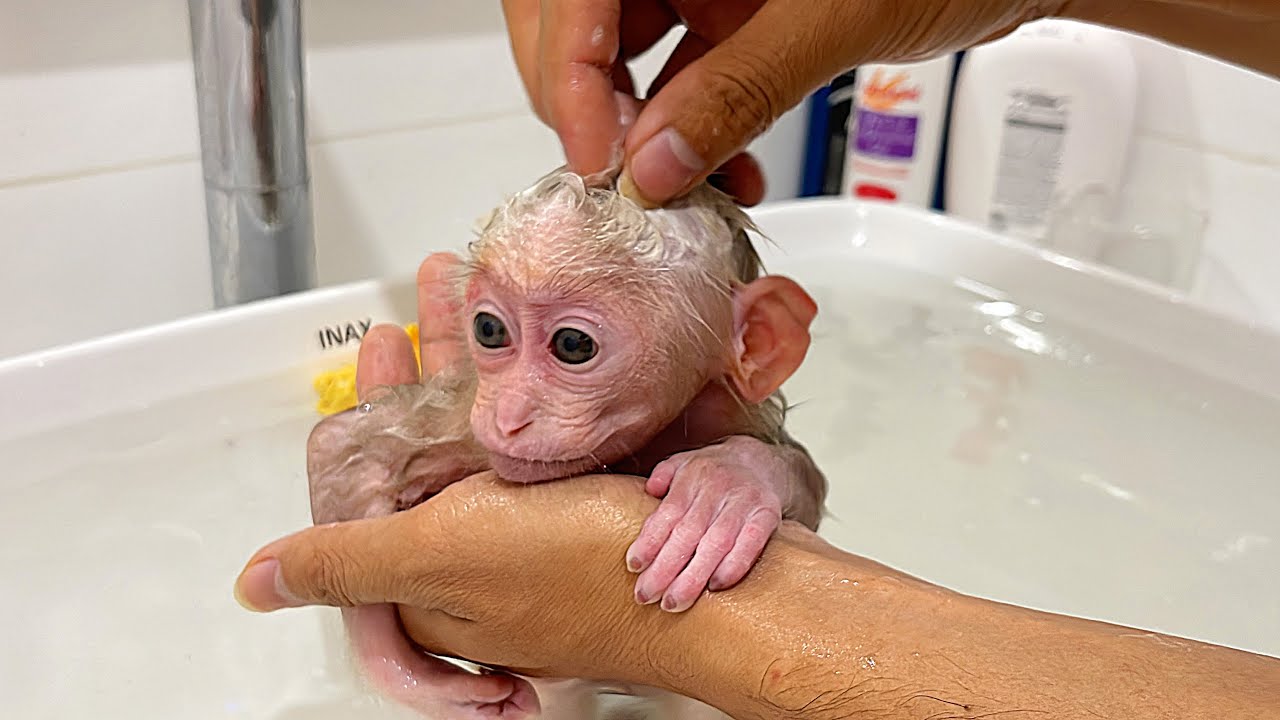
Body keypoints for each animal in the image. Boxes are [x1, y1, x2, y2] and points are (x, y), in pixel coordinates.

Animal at [305, 167, 827, 720]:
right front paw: (420, 681)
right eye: (488, 329)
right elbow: (339, 452)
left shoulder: (732, 408)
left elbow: (805, 489)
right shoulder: (468, 424)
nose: (509, 416)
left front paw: (725, 486)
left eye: (573, 345)